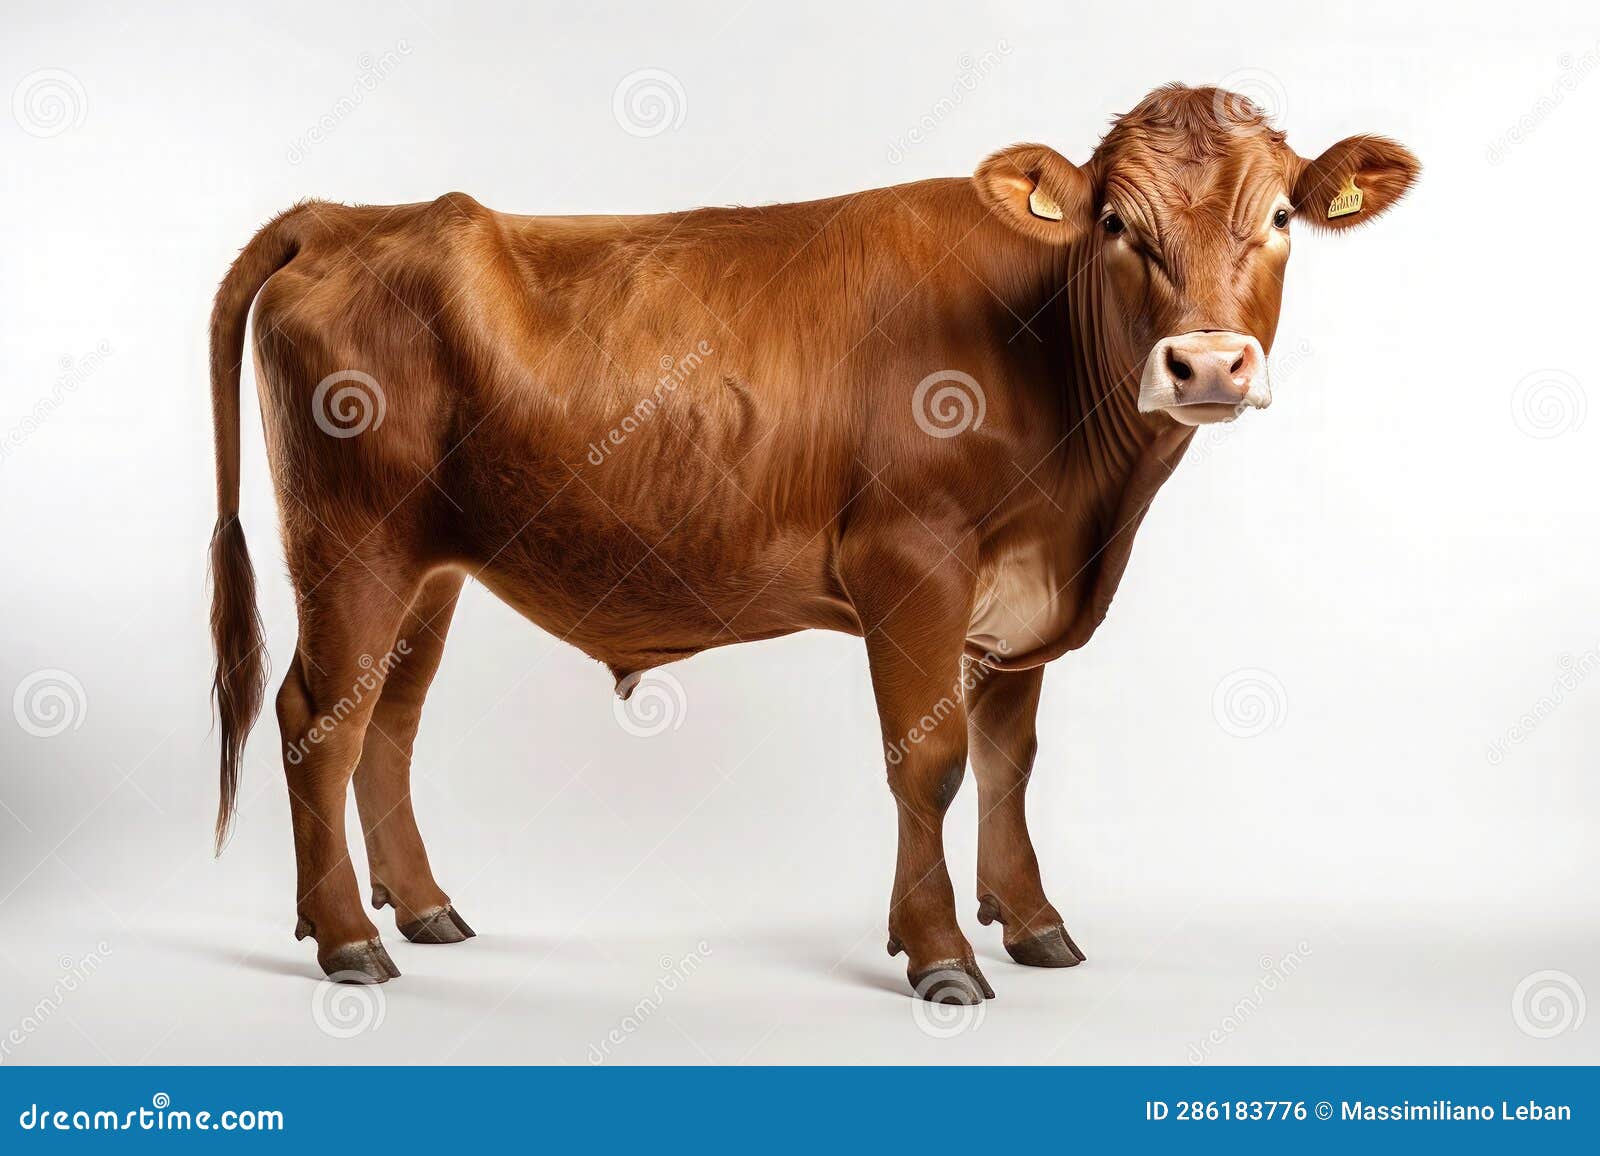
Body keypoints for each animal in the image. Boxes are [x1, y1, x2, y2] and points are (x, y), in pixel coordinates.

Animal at [207, 84, 1417, 1004]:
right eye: (1116, 224)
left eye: (1279, 217)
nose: (1208, 364)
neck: (1090, 505)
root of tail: (346, 216)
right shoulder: (911, 562)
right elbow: (930, 762)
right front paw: (940, 954)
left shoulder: (1023, 590)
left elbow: (1010, 758)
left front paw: (1032, 922)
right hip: (351, 544)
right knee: (319, 720)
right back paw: (347, 939)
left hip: (431, 567)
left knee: (390, 723)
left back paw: (424, 910)